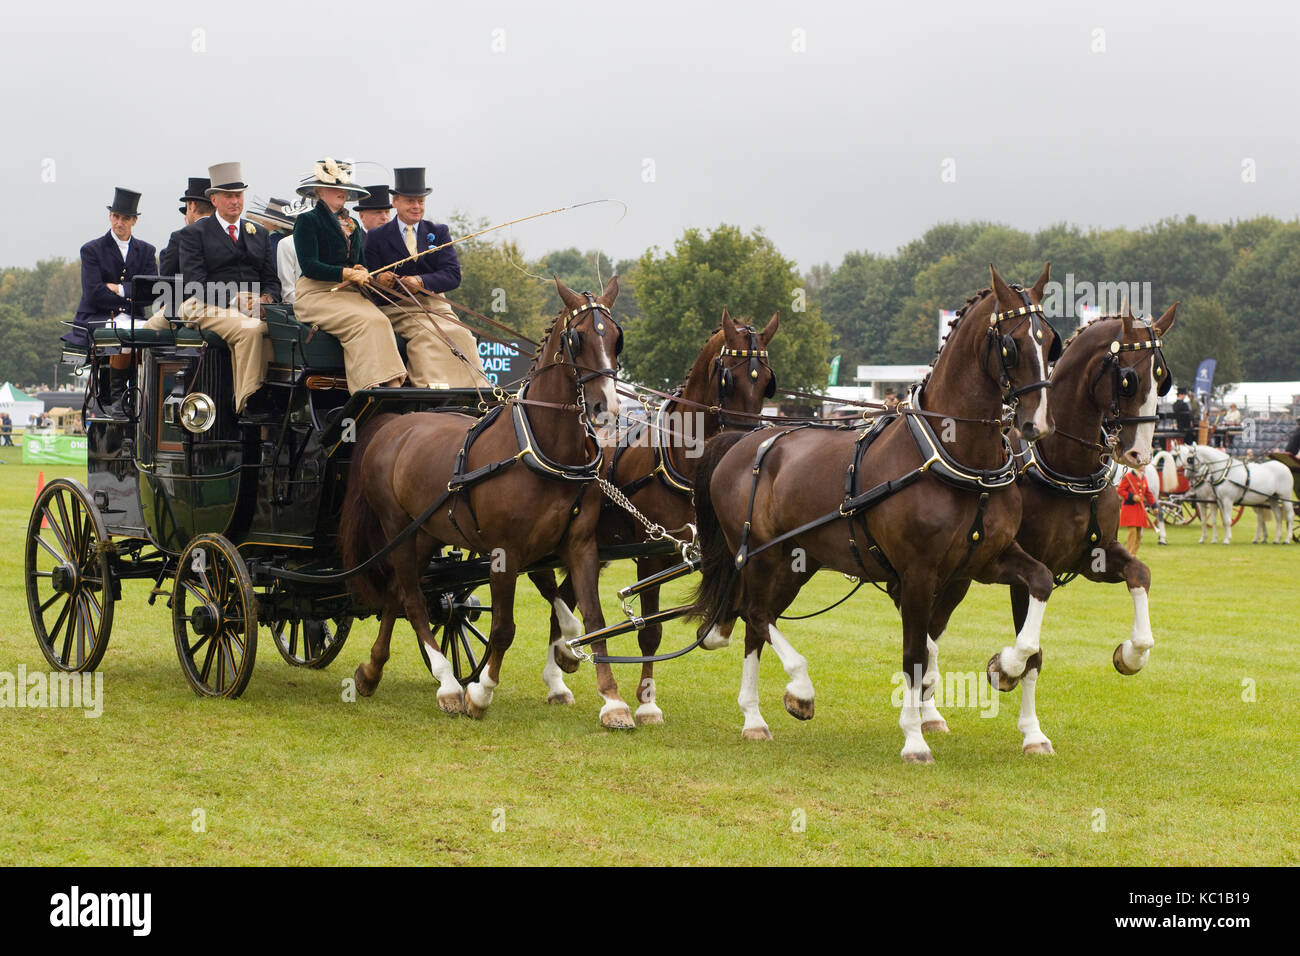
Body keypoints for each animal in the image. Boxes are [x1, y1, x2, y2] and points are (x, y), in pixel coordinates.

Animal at [338, 277, 623, 717]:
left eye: (616, 338)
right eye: (576, 339)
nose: (606, 406)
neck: (543, 447)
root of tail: (391, 424)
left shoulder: (578, 543)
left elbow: (592, 618)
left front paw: (611, 699)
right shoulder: (505, 551)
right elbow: (504, 629)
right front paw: (481, 691)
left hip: (426, 533)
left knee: (397, 593)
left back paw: (372, 671)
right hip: (396, 528)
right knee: (412, 598)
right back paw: (447, 684)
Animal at [529, 310, 779, 727]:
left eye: (767, 382)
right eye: (727, 377)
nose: (742, 444)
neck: (678, 456)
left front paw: (715, 633)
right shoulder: (649, 555)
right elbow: (651, 631)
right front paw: (646, 702)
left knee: (563, 596)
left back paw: (559, 670)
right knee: (548, 587)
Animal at [690, 264, 1060, 763]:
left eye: (1051, 340)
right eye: (1012, 343)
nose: (1036, 424)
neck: (954, 455)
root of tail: (745, 440)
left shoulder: (984, 562)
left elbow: (1039, 581)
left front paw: (1007, 665)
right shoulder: (918, 572)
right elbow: (914, 655)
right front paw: (915, 738)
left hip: (796, 562)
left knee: (756, 621)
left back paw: (756, 717)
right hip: (762, 555)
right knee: (754, 612)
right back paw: (795, 692)